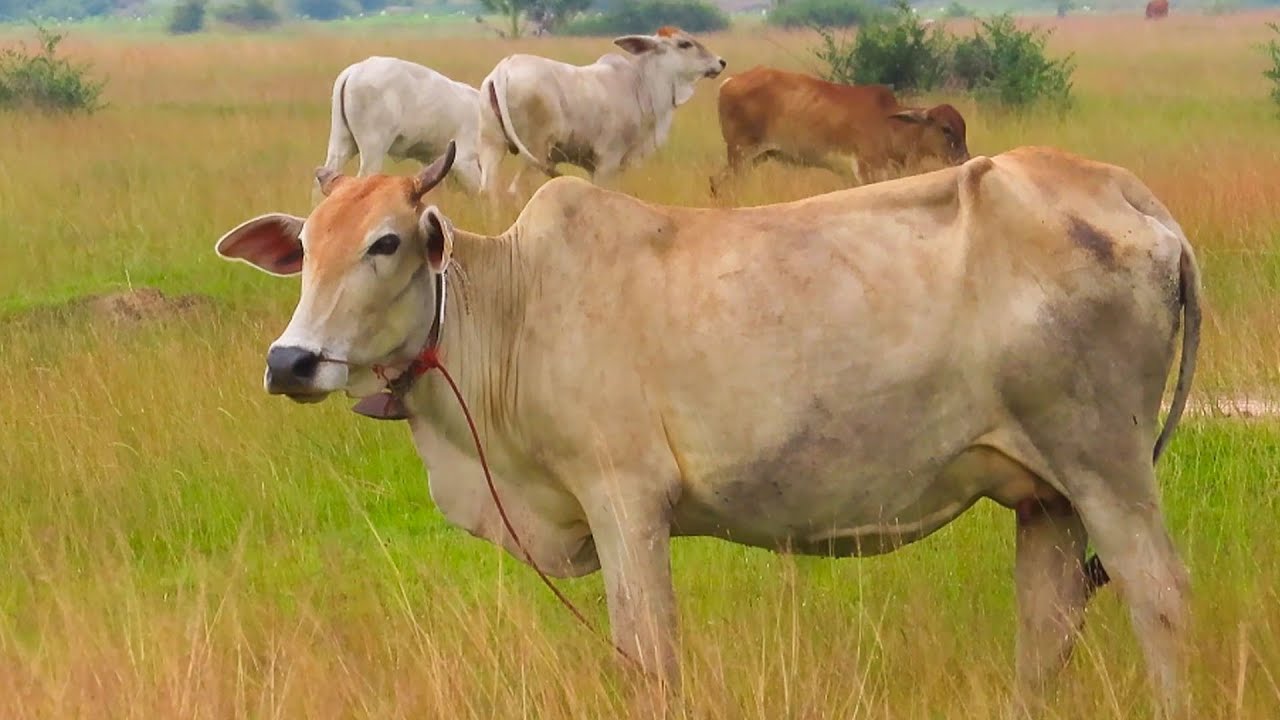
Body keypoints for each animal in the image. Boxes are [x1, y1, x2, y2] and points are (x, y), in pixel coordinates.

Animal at [215, 141, 1201, 719]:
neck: (513, 304)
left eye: (385, 243)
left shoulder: (625, 501)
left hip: (1107, 463)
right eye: (305, 249)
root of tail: (1128, 195)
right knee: (1050, 622)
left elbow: (647, 656)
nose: (290, 362)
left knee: (1160, 602)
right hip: (1047, 497)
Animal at [475, 26, 725, 197]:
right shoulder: (608, 161)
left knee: (487, 189)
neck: (640, 85)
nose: (721, 62)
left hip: (492, 145)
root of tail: (502, 69)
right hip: (536, 151)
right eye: (684, 44)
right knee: (516, 189)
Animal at [711, 66, 969, 195]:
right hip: (740, 155)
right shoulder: (867, 170)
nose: (964, 159)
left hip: (754, 158)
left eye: (962, 127)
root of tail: (729, 82)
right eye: (946, 129)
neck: (890, 124)